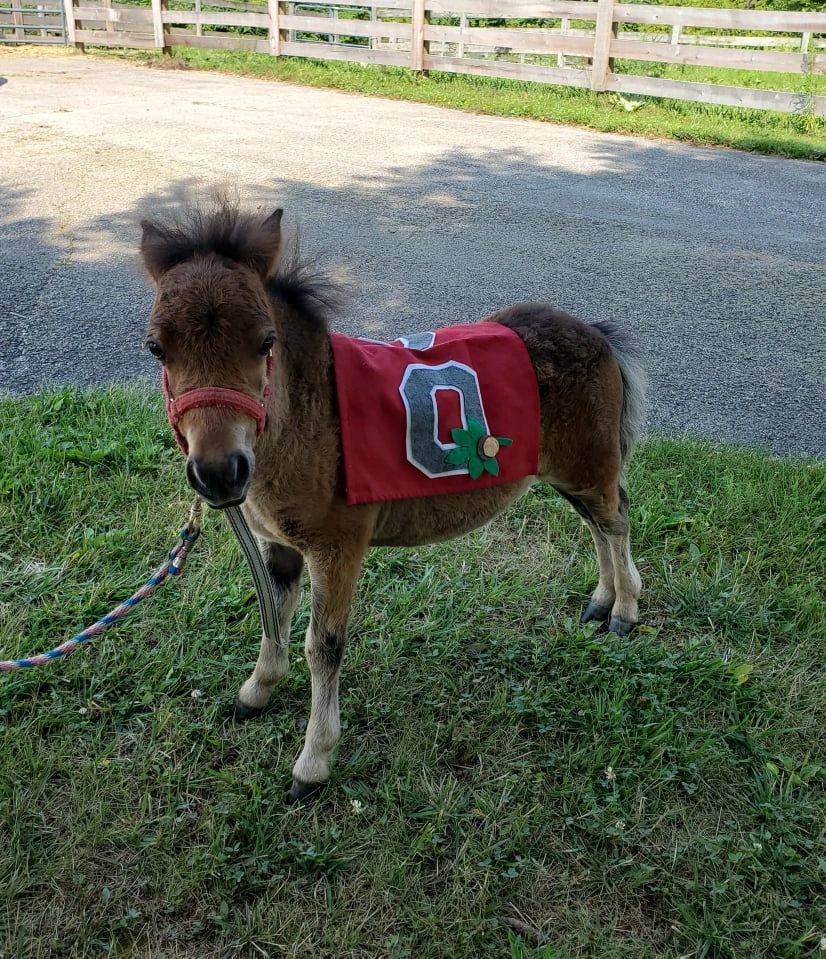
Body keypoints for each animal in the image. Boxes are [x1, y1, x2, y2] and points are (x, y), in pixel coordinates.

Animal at [139, 198, 646, 804]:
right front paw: (257, 691)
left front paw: (313, 763)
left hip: (588, 466)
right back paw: (601, 600)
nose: (218, 473)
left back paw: (624, 611)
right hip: (571, 475)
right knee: (597, 522)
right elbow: (272, 614)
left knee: (615, 520)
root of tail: (597, 334)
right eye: (156, 348)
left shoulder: (338, 548)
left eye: (265, 341)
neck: (311, 418)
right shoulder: (279, 546)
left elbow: (323, 646)